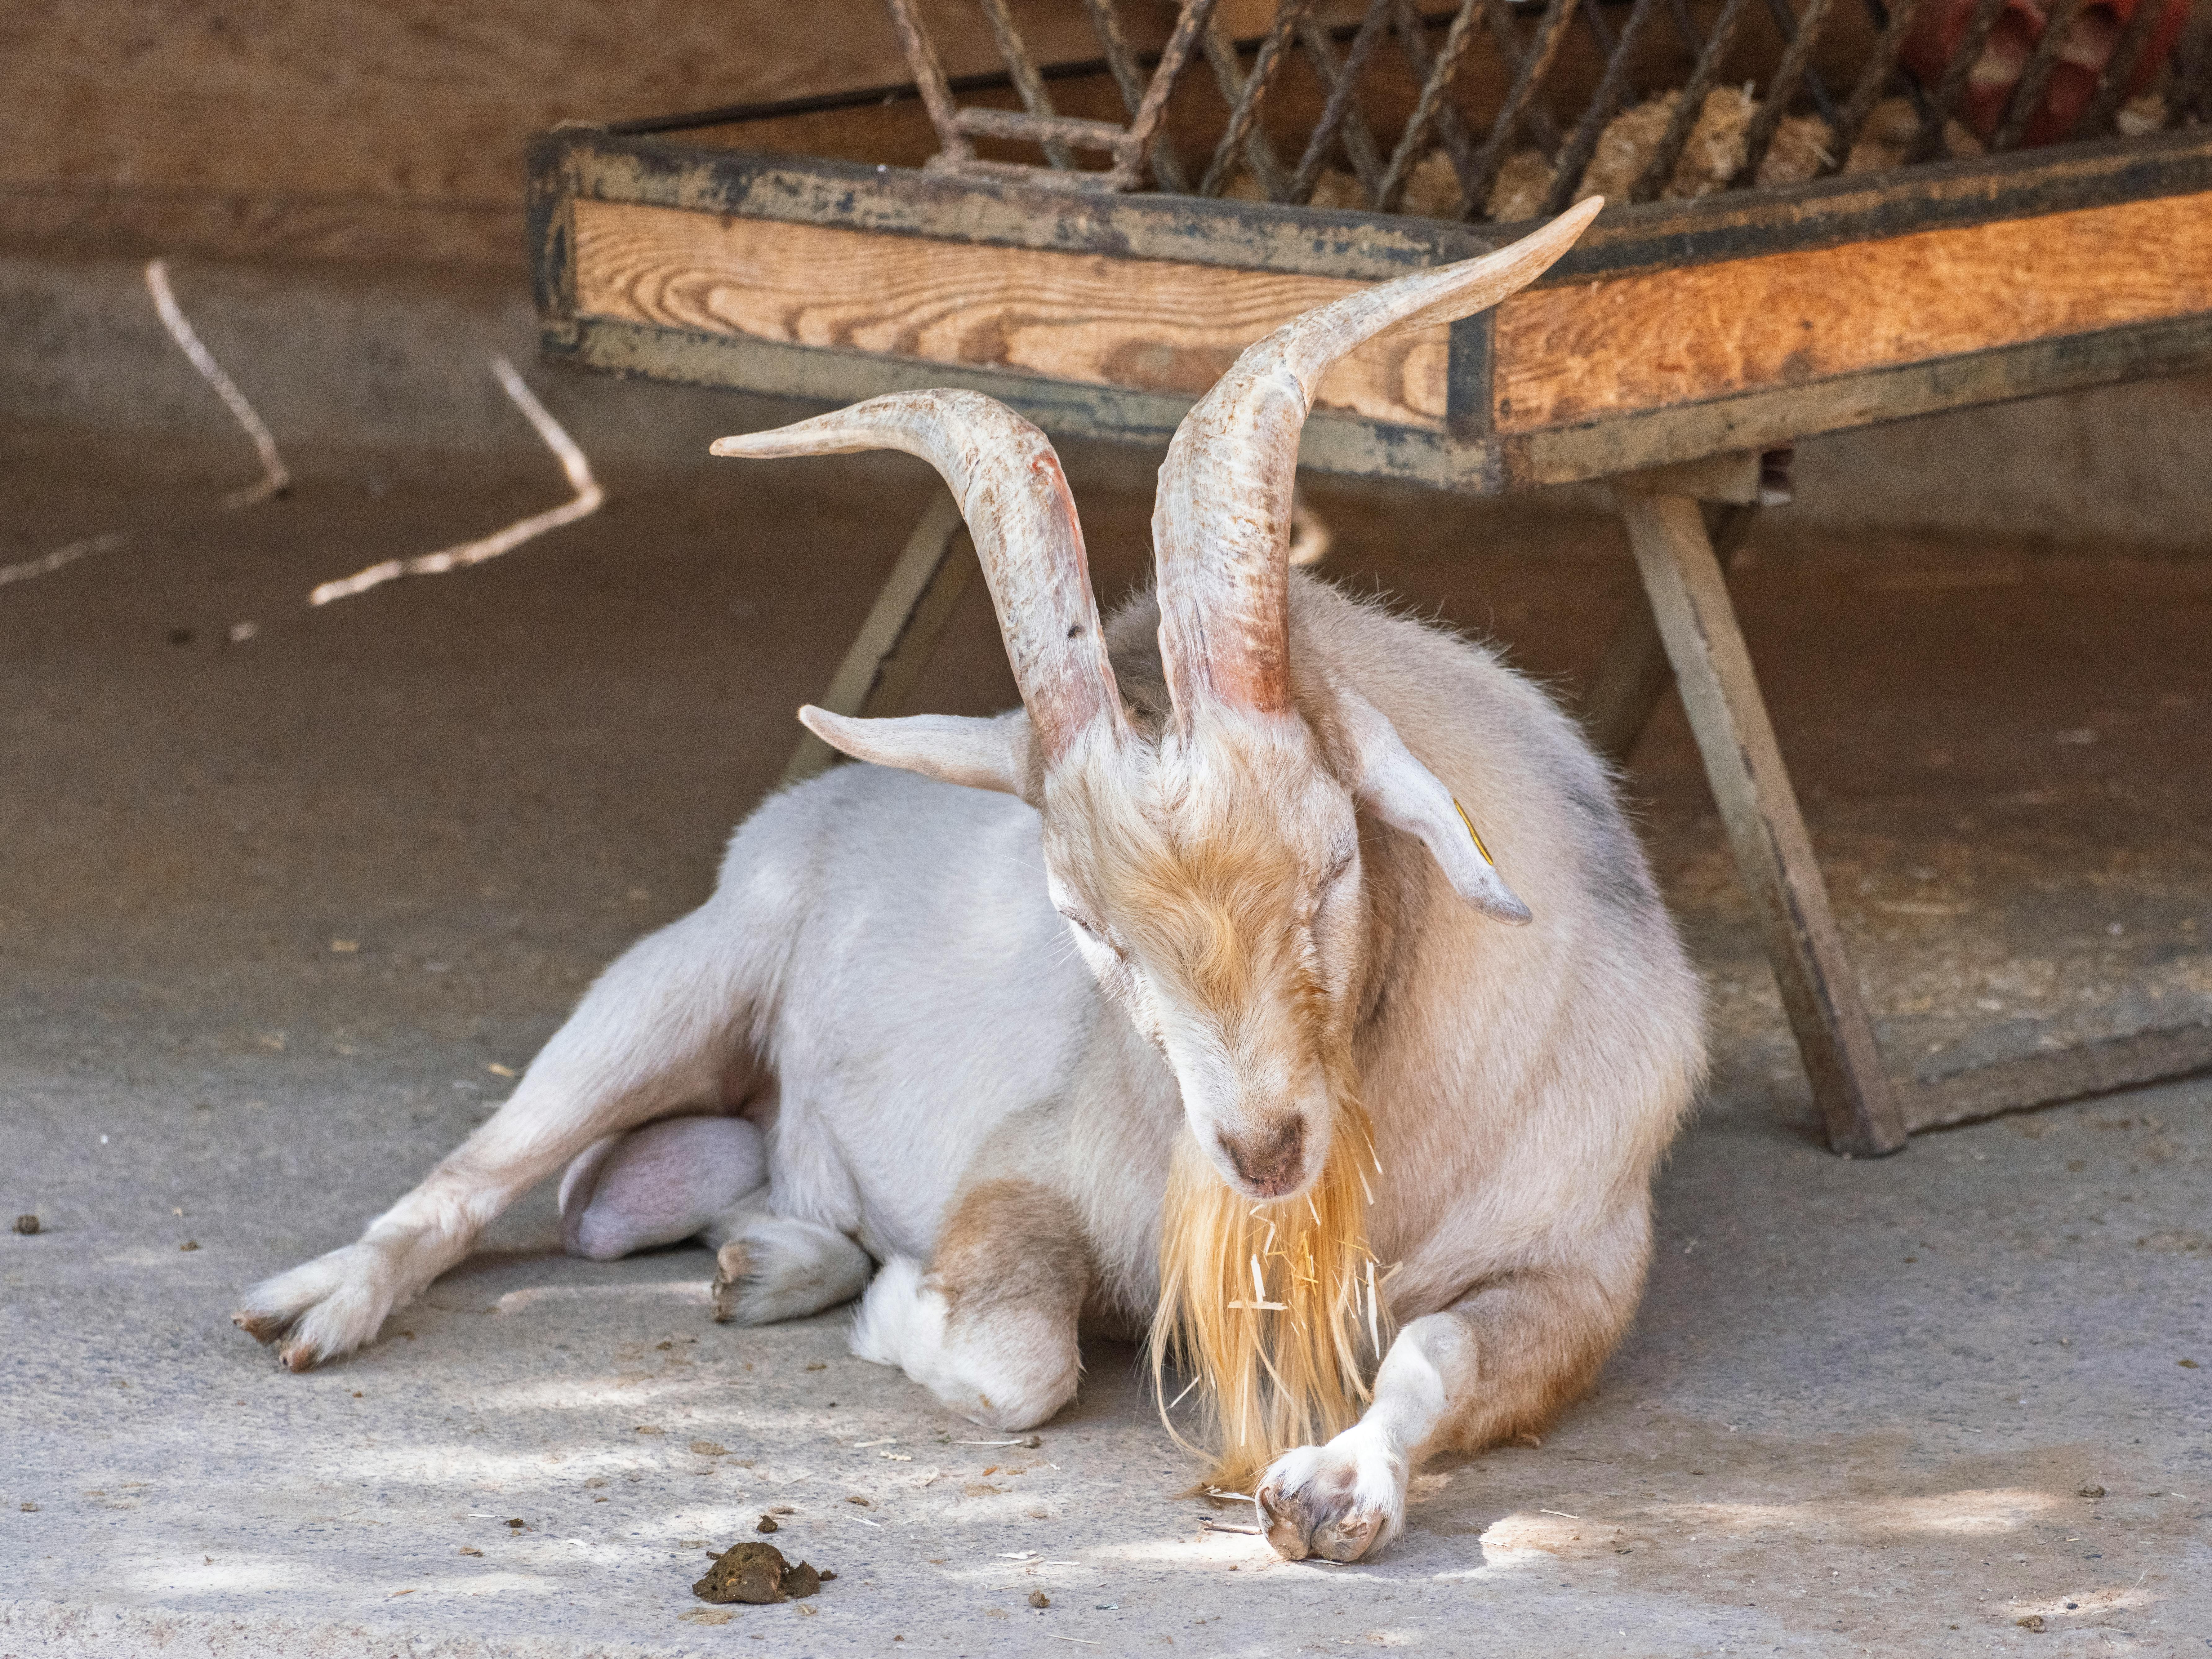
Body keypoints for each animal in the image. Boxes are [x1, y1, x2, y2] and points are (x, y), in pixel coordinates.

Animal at [233, 197, 1703, 1561]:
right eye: (1086, 928)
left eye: (1334, 860)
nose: (1261, 1150)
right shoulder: (1027, 1174)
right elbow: (1017, 1362)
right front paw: (901, 1303)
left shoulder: (1580, 1270)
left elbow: (1435, 1352)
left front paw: (1334, 1489)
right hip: (671, 987)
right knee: (487, 1166)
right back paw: (318, 1306)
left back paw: (771, 1257)